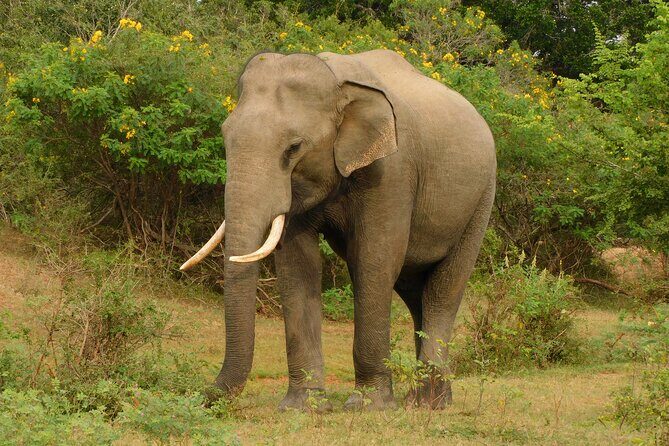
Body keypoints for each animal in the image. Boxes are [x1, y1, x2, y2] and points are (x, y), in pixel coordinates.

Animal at [180, 49, 496, 411]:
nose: (203, 396)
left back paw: (428, 403)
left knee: (443, 290)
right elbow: (298, 266)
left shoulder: (392, 171)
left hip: (481, 200)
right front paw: (302, 407)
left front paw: (368, 406)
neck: (336, 83)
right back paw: (422, 399)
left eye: (293, 148)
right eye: (224, 136)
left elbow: (375, 260)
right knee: (415, 291)